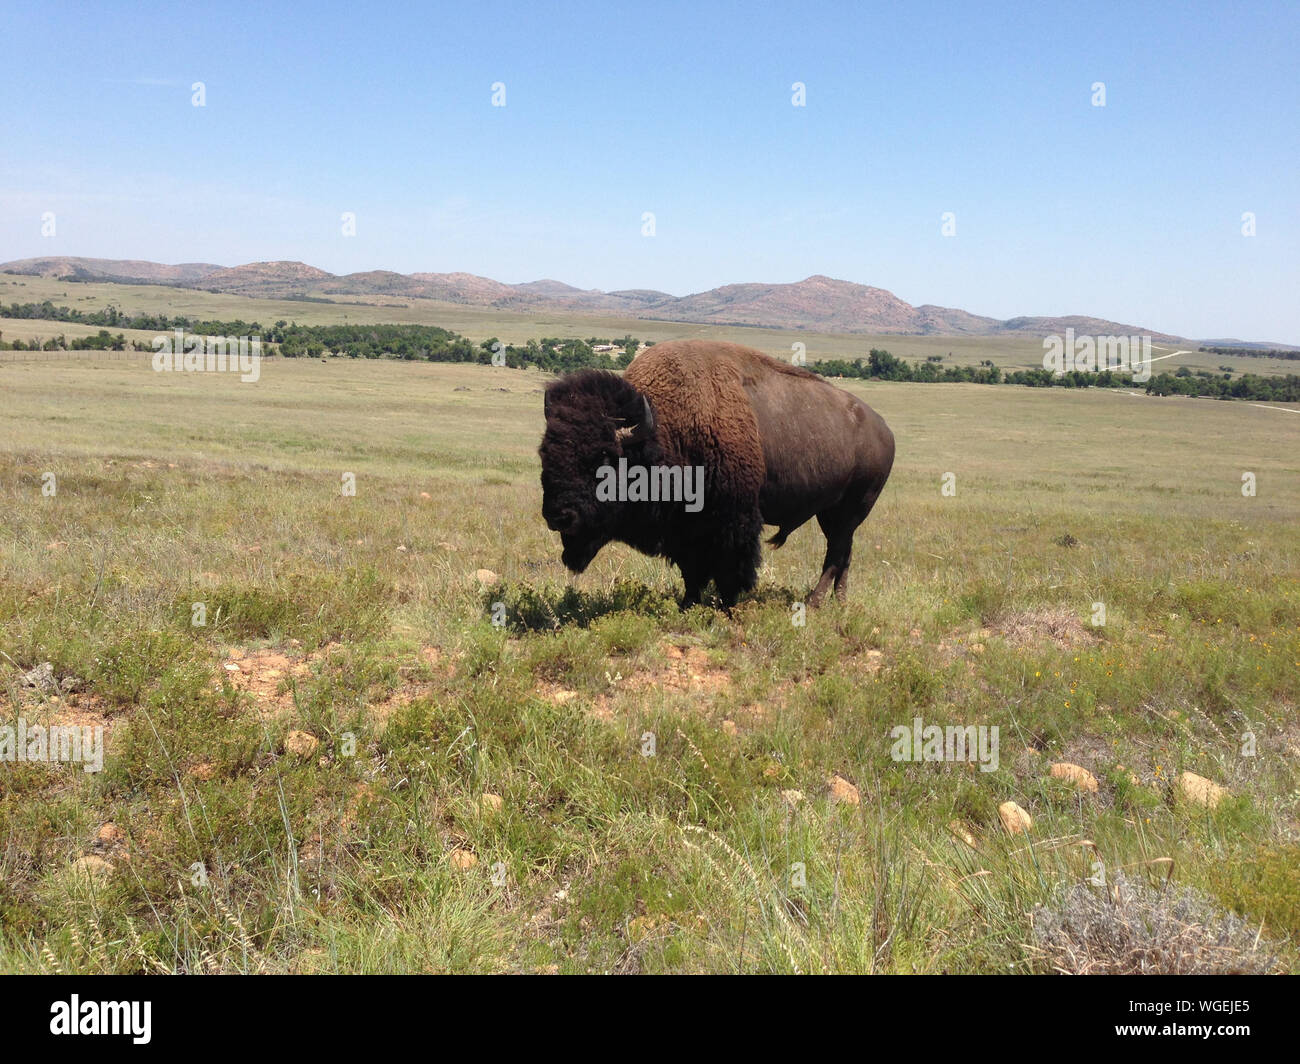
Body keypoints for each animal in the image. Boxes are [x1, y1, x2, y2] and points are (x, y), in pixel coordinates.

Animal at [539, 340, 894, 608]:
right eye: (545, 453)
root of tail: (883, 429)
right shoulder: (686, 527)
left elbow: (730, 569)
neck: (663, 431)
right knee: (843, 553)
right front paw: (688, 604)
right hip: (831, 514)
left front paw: (727, 605)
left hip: (851, 509)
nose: (559, 516)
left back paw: (814, 602)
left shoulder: (733, 520)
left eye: (604, 458)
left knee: (835, 554)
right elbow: (691, 571)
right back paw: (839, 603)